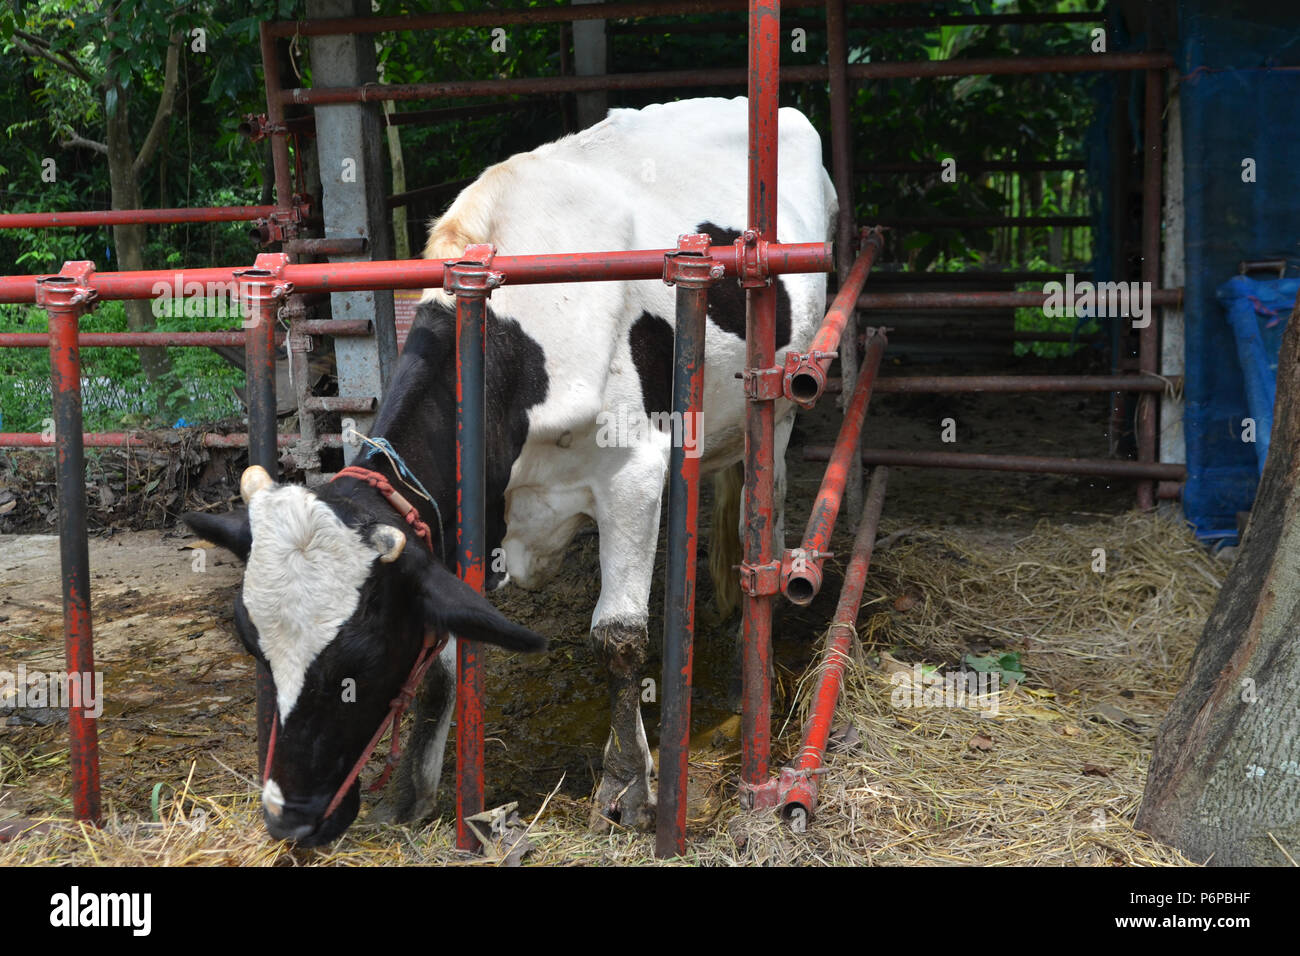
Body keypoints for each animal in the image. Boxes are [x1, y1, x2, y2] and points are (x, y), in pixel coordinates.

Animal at [185, 96, 835, 845]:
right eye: (253, 646)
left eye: (358, 662)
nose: (288, 818)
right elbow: (443, 658)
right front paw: (411, 791)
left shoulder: (633, 477)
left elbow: (617, 639)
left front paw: (627, 788)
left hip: (781, 405)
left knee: (767, 515)